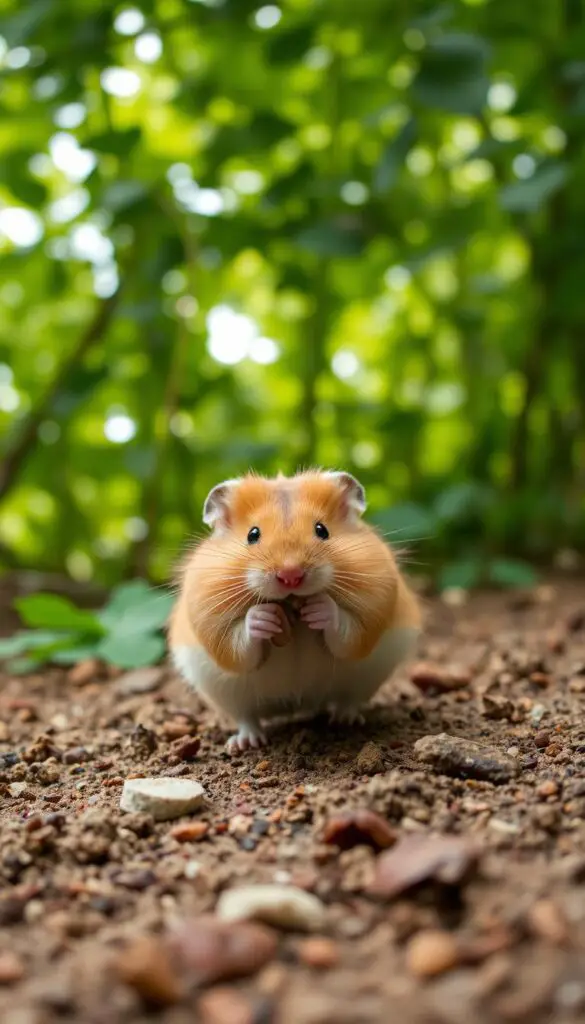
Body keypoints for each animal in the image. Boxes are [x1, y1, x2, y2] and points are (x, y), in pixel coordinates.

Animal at [168, 469, 421, 753]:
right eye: (252, 534)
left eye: (322, 530)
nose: (291, 576)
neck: (291, 605)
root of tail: (297, 706)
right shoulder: (213, 625)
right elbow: (240, 647)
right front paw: (264, 617)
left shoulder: (373, 607)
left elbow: (347, 633)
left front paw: (318, 608)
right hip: (224, 692)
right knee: (246, 717)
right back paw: (247, 741)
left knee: (349, 700)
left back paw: (345, 719)